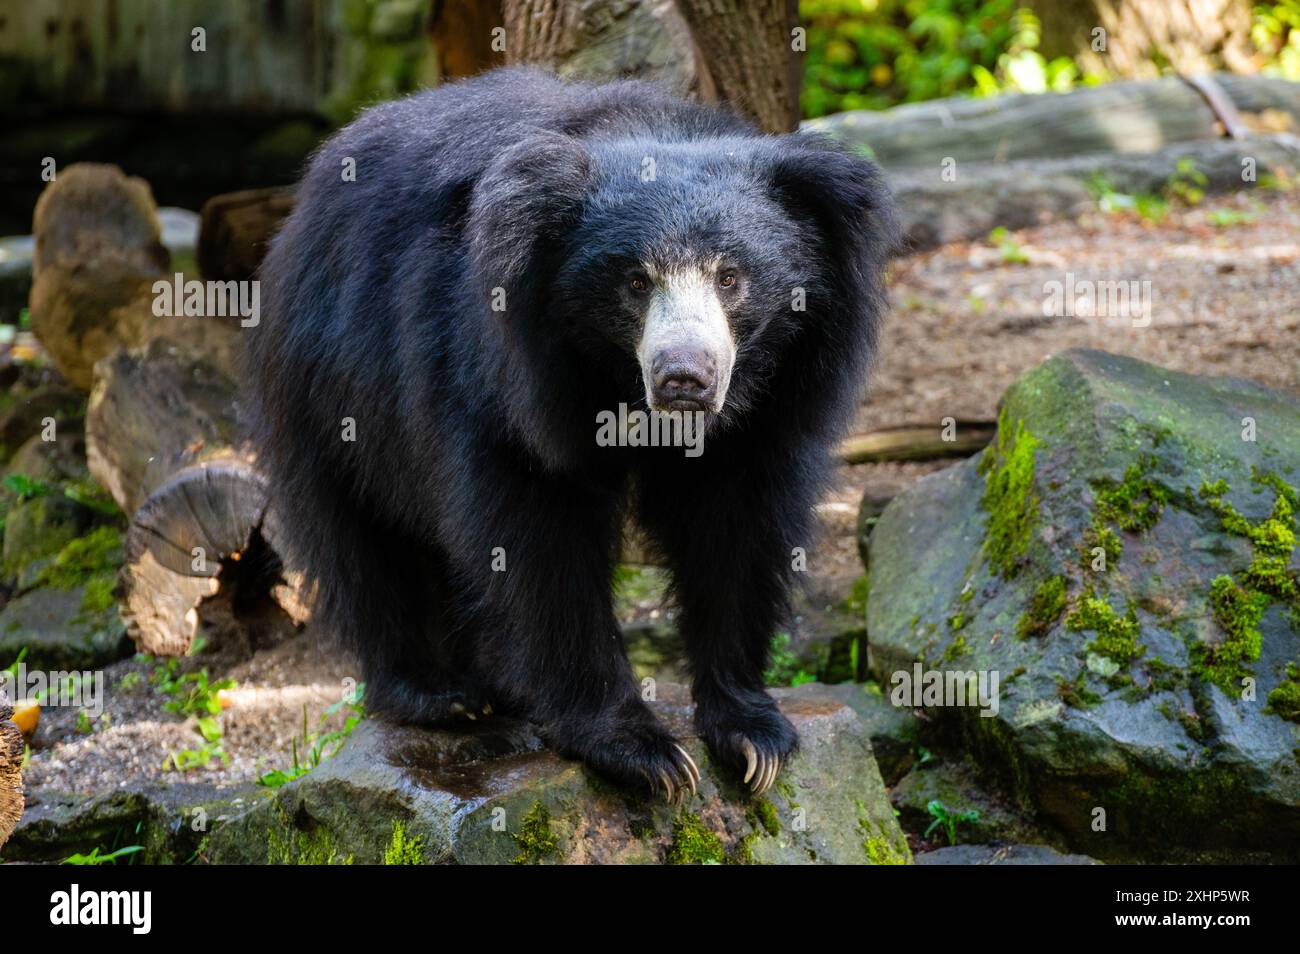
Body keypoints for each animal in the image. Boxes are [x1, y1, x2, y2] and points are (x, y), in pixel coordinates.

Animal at [245, 67, 896, 799]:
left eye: (731, 276)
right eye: (635, 282)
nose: (685, 377)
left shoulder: (775, 403)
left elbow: (734, 526)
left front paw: (754, 736)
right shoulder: (497, 376)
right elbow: (539, 537)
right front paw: (644, 753)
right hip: (328, 382)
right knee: (363, 539)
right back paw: (440, 694)